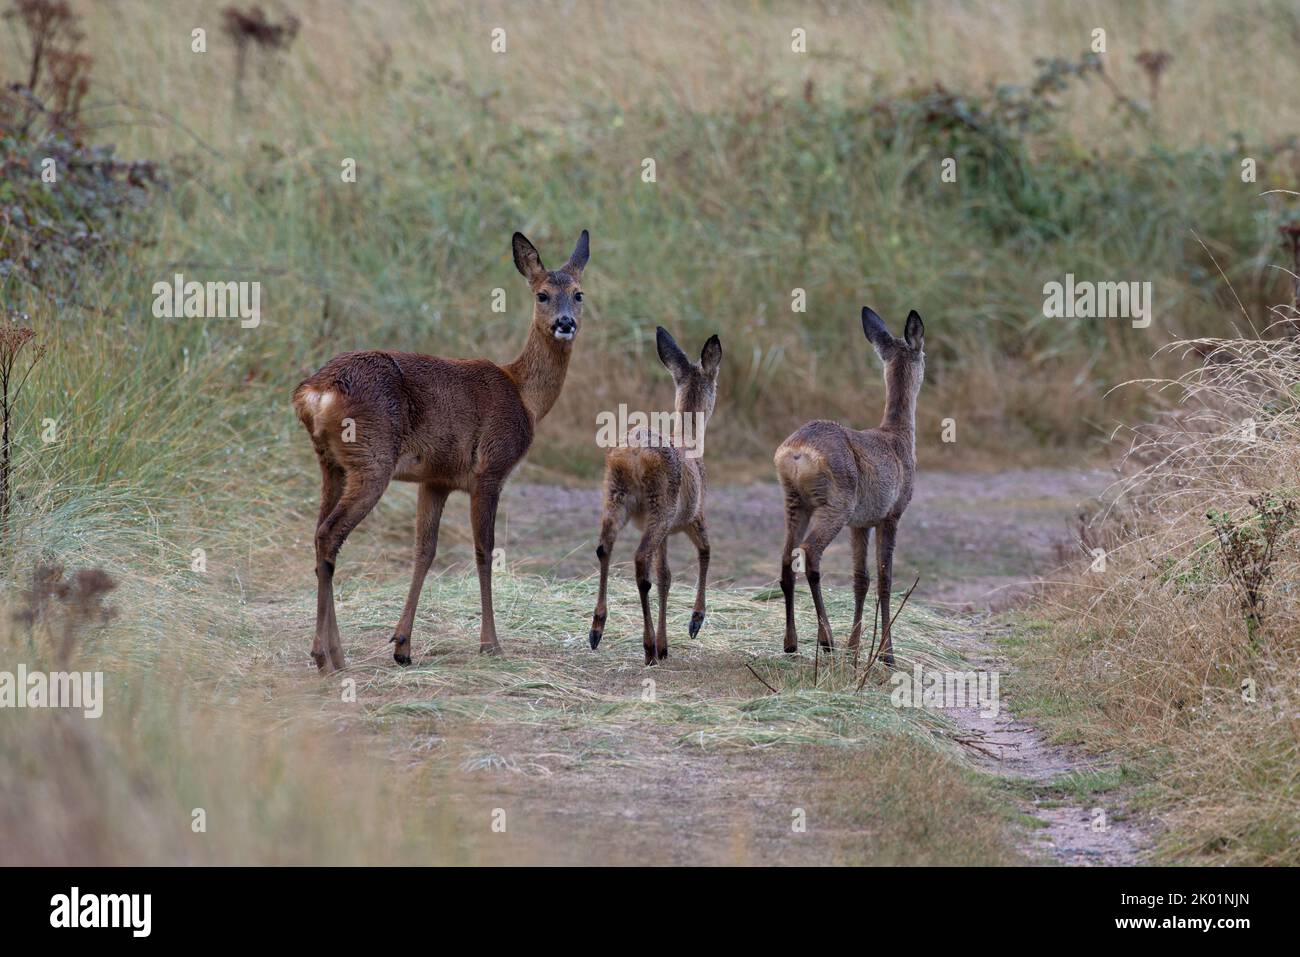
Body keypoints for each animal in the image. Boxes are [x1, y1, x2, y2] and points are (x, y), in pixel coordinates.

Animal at [292, 230, 590, 673]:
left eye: (579, 293)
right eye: (542, 294)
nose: (565, 323)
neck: (525, 396)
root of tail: (314, 391)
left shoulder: (435, 478)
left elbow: (425, 552)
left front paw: (402, 645)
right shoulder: (489, 470)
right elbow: (484, 552)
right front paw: (491, 644)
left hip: (331, 464)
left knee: (318, 535)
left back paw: (330, 651)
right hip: (371, 460)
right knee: (330, 535)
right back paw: (329, 657)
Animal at [587, 327, 722, 665]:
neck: (690, 441)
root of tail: (635, 456)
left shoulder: (669, 532)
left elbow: (666, 577)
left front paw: (665, 645)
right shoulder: (693, 514)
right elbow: (705, 552)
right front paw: (693, 623)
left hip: (615, 497)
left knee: (604, 547)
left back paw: (597, 630)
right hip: (660, 506)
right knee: (639, 560)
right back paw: (647, 646)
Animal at [774, 306, 925, 667]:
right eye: (924, 353)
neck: (898, 438)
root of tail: (797, 453)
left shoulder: (862, 522)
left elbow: (861, 579)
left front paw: (855, 649)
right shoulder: (891, 514)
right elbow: (884, 579)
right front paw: (886, 654)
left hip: (795, 500)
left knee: (786, 558)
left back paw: (791, 643)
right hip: (836, 503)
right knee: (810, 552)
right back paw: (825, 639)